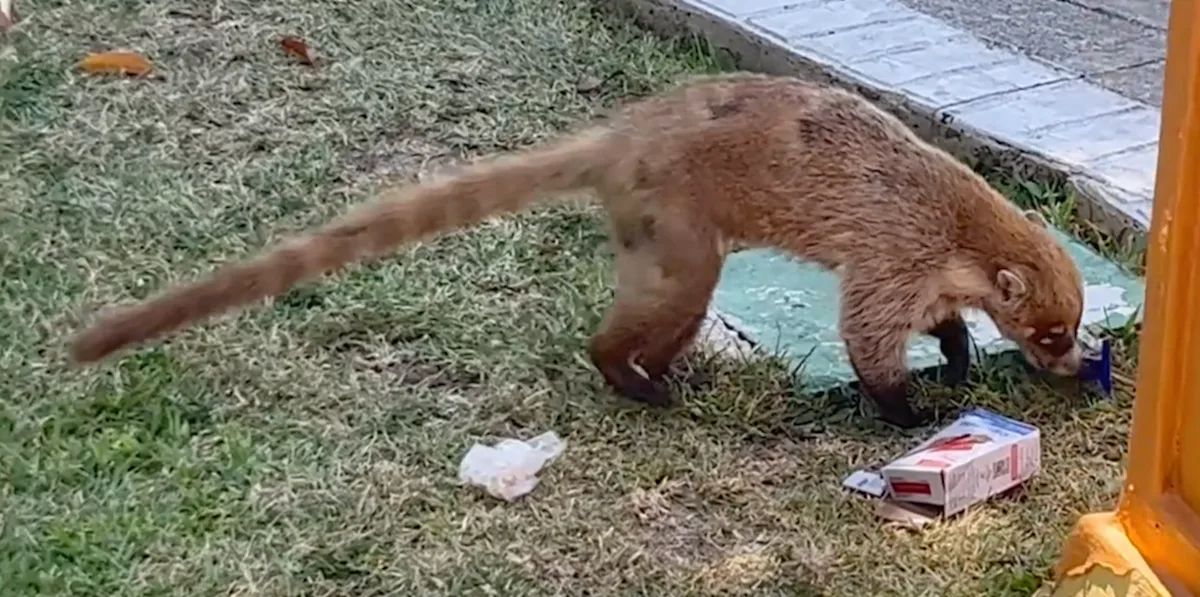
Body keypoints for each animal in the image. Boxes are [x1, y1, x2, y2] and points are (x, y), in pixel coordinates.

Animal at [66, 72, 1085, 428]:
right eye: (1051, 335)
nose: (1076, 372)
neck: (971, 227)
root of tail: (622, 134)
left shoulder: (924, 267)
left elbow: (935, 318)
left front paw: (955, 351)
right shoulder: (893, 249)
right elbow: (868, 335)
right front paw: (905, 408)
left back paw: (658, 374)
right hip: (679, 234)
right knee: (655, 310)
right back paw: (629, 377)